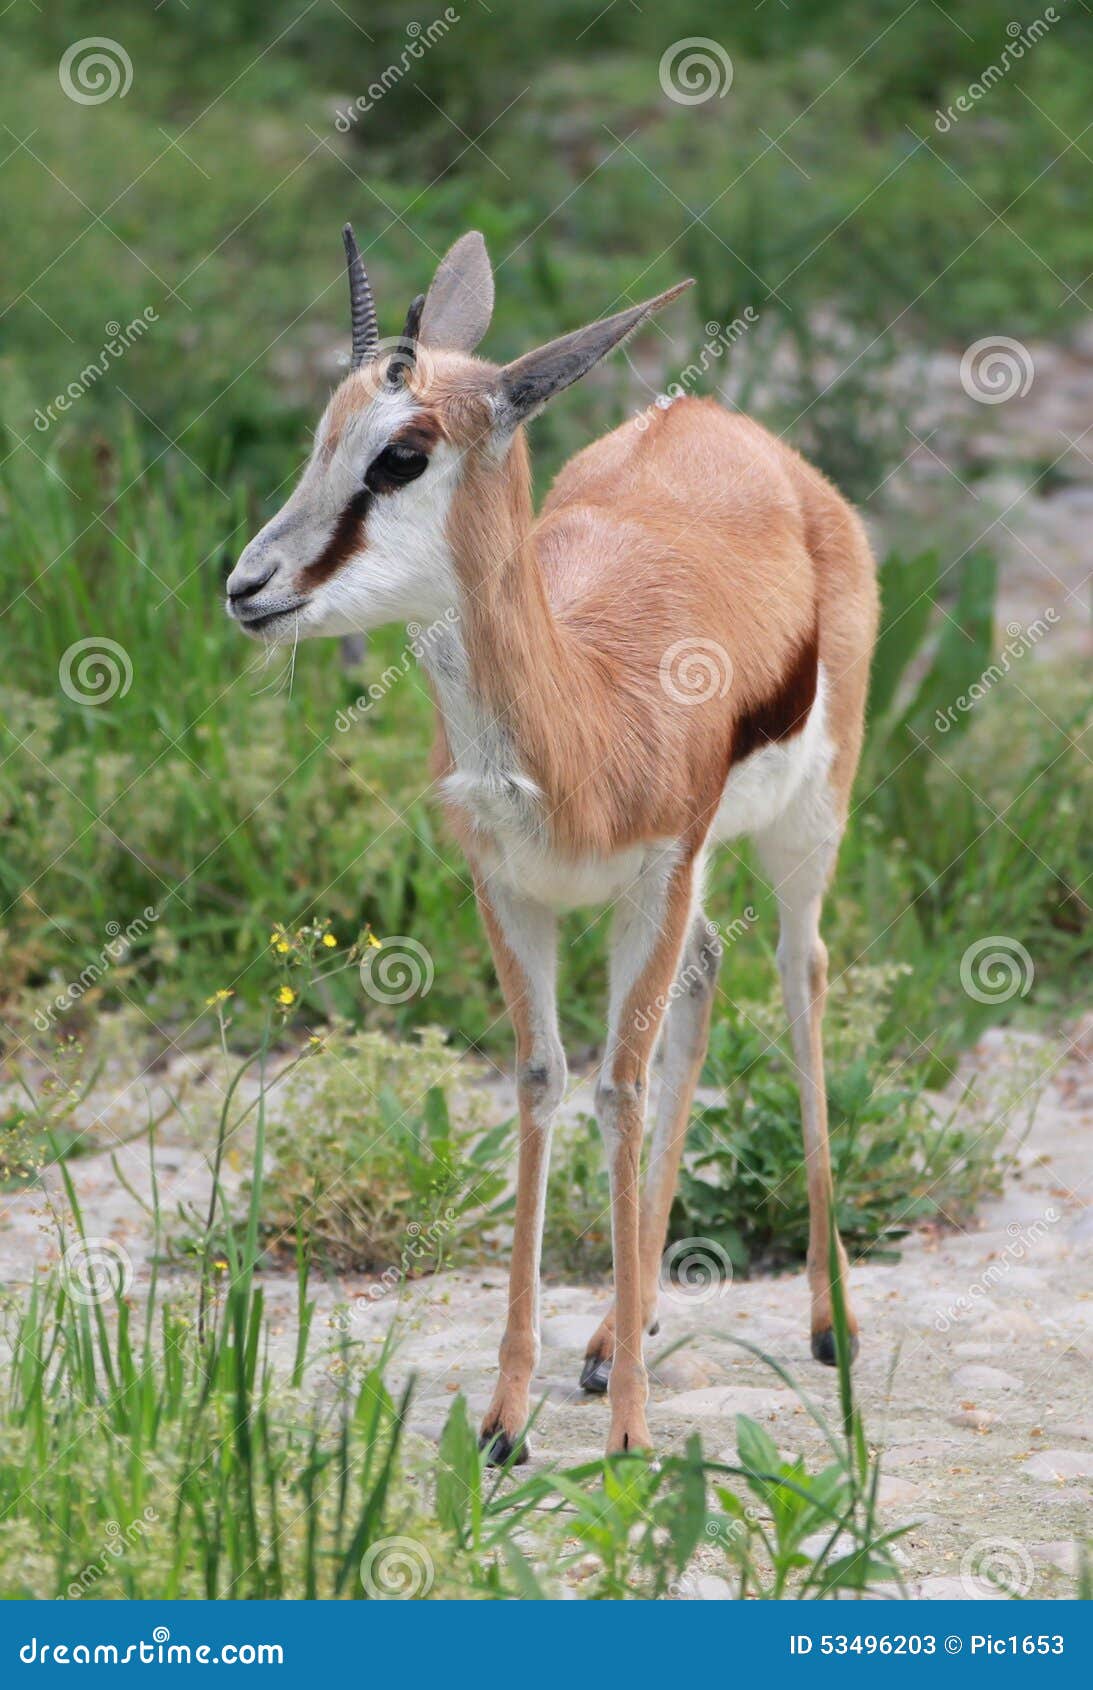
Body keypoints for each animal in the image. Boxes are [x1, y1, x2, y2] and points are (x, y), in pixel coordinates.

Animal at [226, 227, 879, 1462]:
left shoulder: (655, 874)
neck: (583, 711)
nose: (248, 586)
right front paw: (506, 1413)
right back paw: (618, 1332)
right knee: (709, 974)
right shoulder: (509, 889)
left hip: (804, 826)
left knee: (800, 974)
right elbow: (541, 1079)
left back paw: (829, 1324)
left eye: (401, 455)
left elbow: (617, 1092)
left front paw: (627, 1437)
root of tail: (721, 424)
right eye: (324, 433)